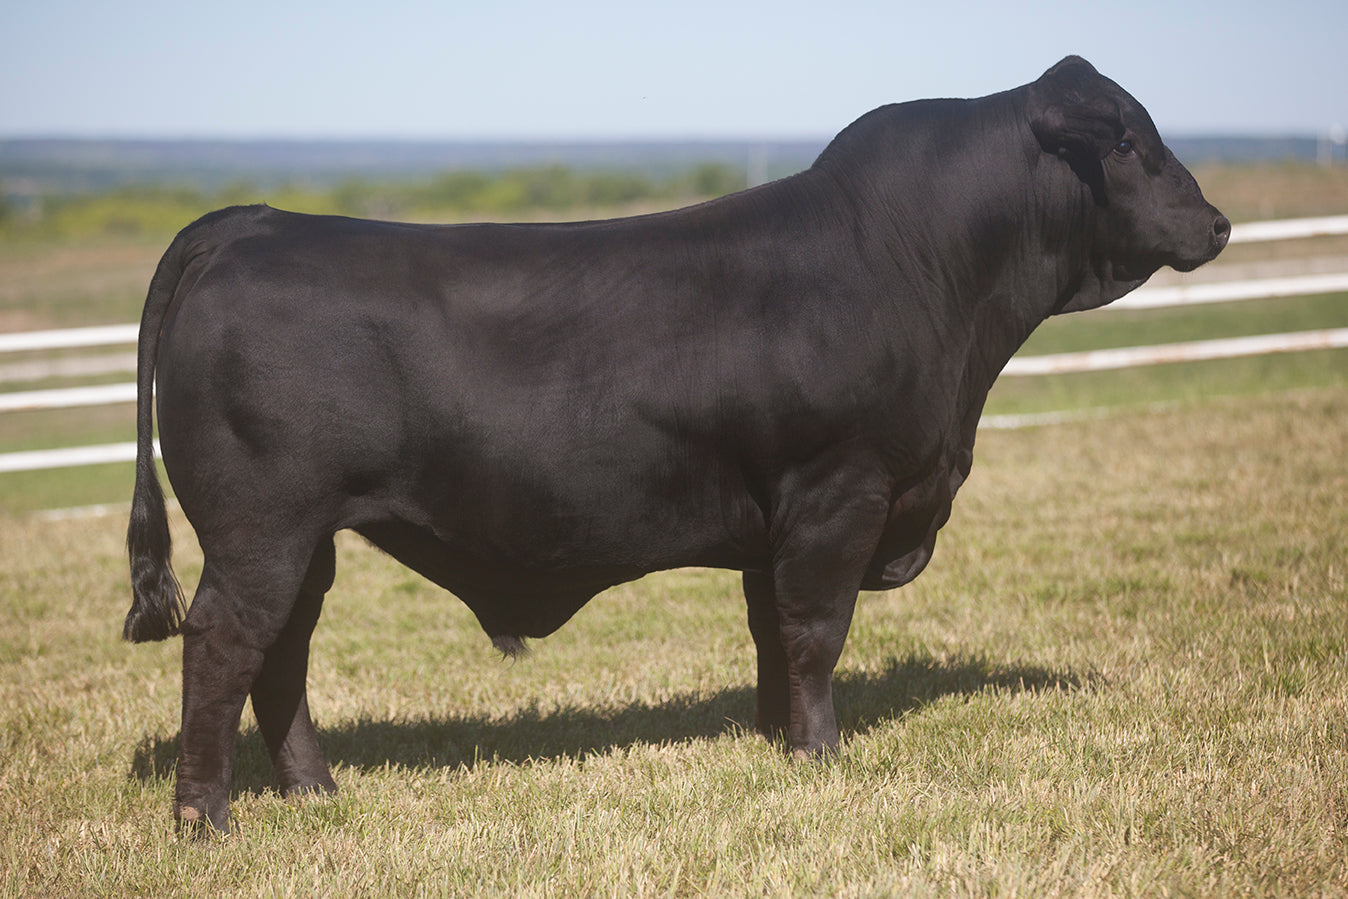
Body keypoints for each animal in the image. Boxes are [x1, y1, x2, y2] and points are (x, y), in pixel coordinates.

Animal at [125, 56, 1228, 834]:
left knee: (283, 651)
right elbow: (816, 630)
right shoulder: (839, 491)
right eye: (1126, 142)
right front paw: (821, 754)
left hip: (304, 537)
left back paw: (315, 791)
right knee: (223, 642)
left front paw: (776, 740)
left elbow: (771, 633)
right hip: (262, 527)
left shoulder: (777, 515)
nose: (1216, 222)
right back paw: (206, 818)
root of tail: (254, 222)